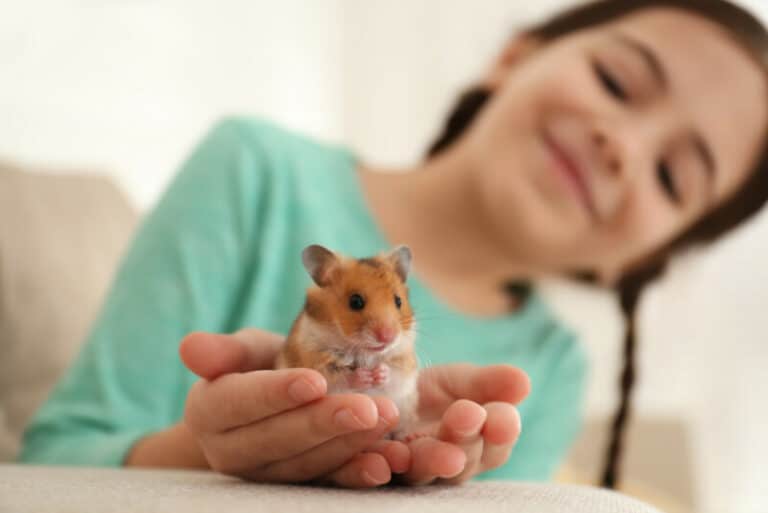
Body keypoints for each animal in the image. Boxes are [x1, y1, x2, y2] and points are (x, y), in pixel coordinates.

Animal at [276, 244, 419, 440]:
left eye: (398, 301)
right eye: (355, 301)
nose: (387, 337)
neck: (364, 351)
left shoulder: (404, 362)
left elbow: (394, 373)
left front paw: (379, 373)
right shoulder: (316, 361)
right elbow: (341, 378)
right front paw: (365, 376)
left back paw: (412, 436)